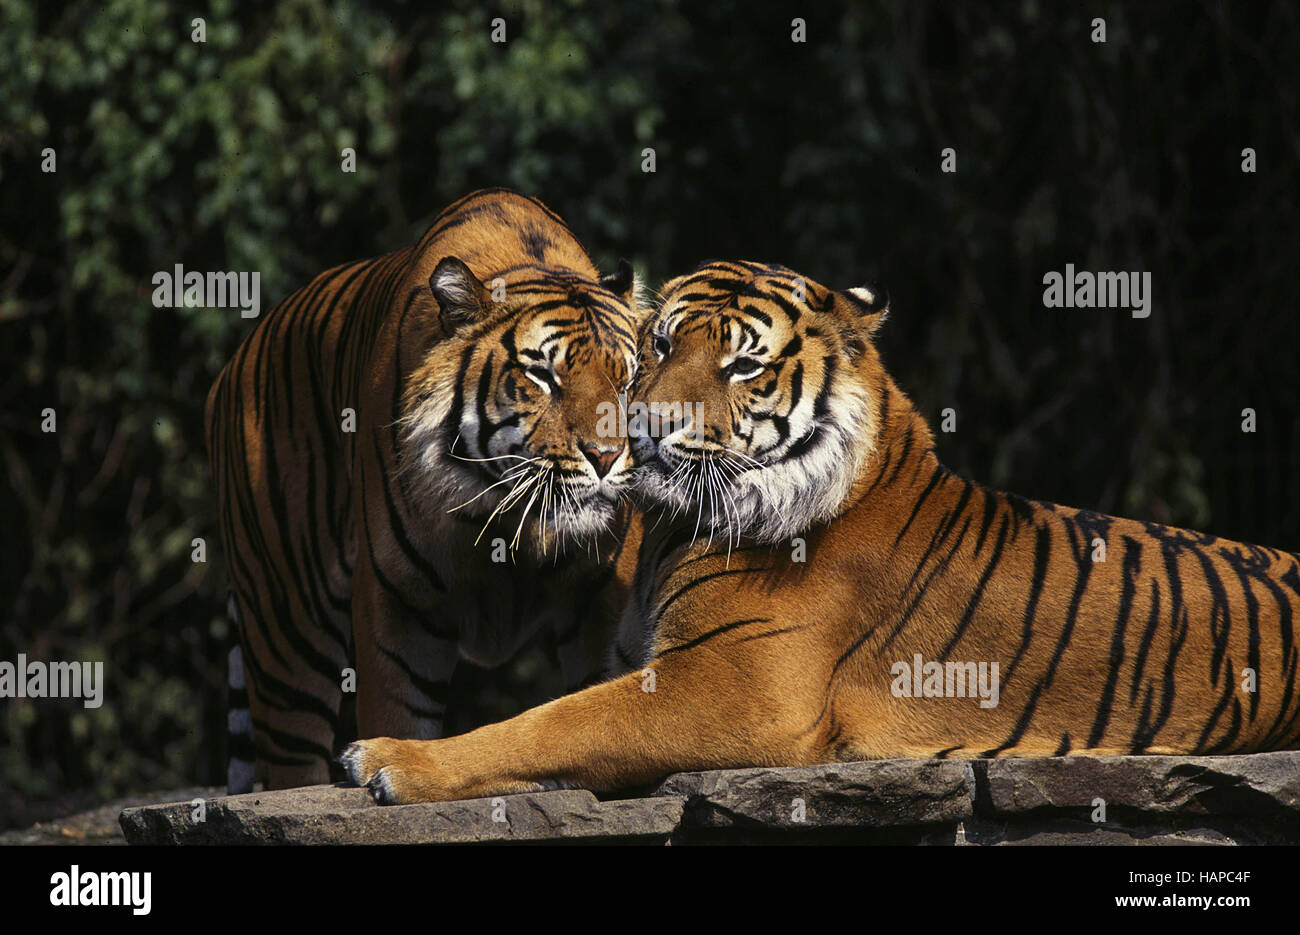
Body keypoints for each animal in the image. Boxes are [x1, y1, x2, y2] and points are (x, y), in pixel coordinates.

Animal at [206, 188, 645, 793]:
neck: (506, 520)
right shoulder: (398, 602)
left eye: (627, 380)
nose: (605, 457)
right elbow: (398, 719)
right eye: (542, 376)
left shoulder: (600, 597)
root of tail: (232, 365)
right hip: (285, 633)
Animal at [341, 258, 1300, 804]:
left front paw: (388, 759)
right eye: (659, 345)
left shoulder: (733, 688)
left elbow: (549, 724)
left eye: (743, 364)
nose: (639, 429)